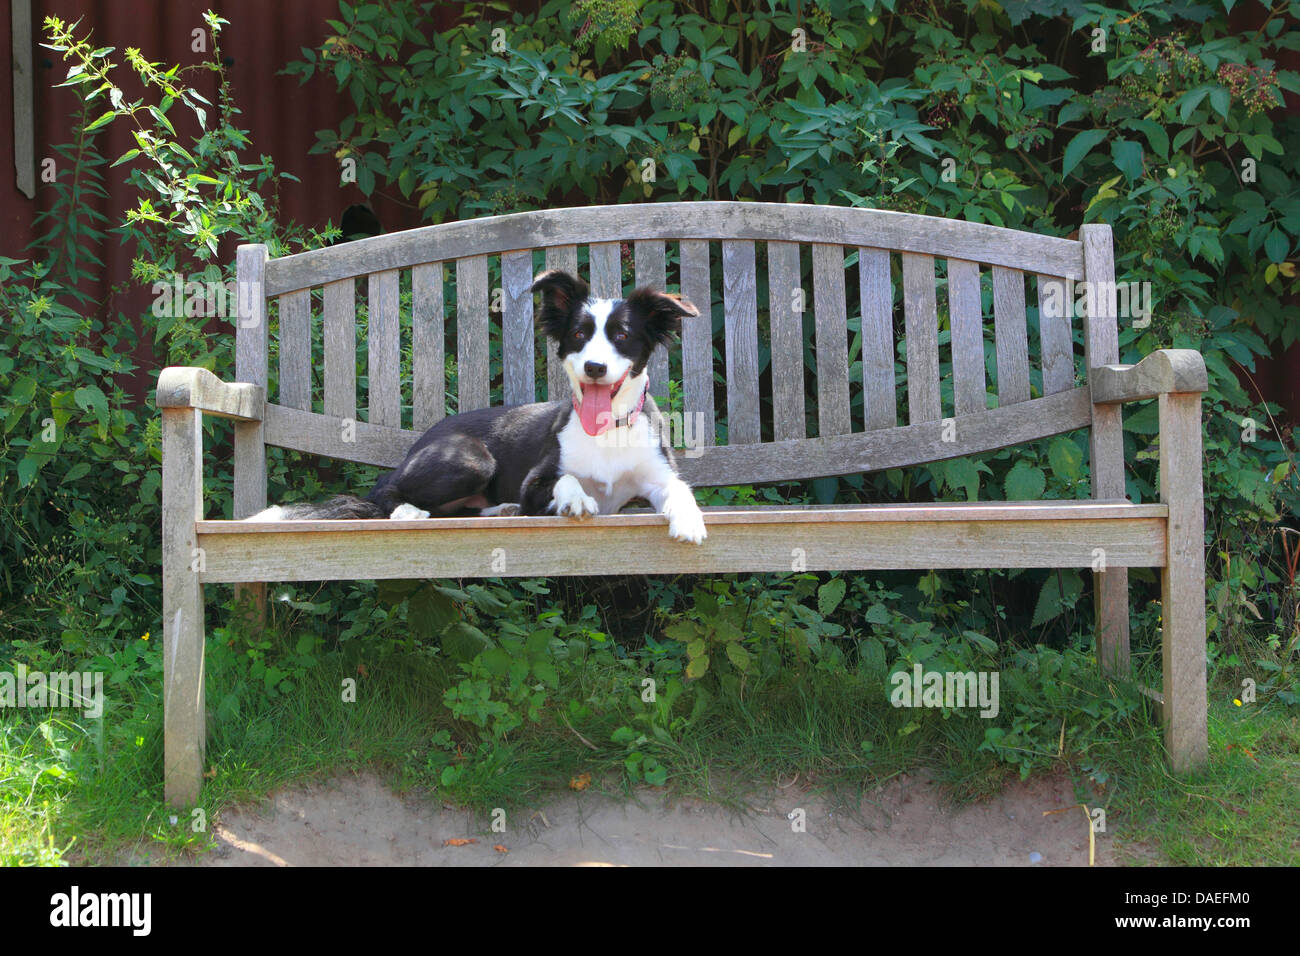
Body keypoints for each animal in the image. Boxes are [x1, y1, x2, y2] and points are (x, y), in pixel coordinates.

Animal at [246, 273, 707, 546]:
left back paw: (501, 509)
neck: (608, 430)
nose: (595, 367)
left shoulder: (657, 475)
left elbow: (680, 489)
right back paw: (408, 509)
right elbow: (566, 480)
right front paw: (576, 499)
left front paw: (690, 520)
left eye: (623, 335)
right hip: (471, 458)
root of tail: (418, 443)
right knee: (385, 491)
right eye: (578, 334)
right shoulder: (535, 482)